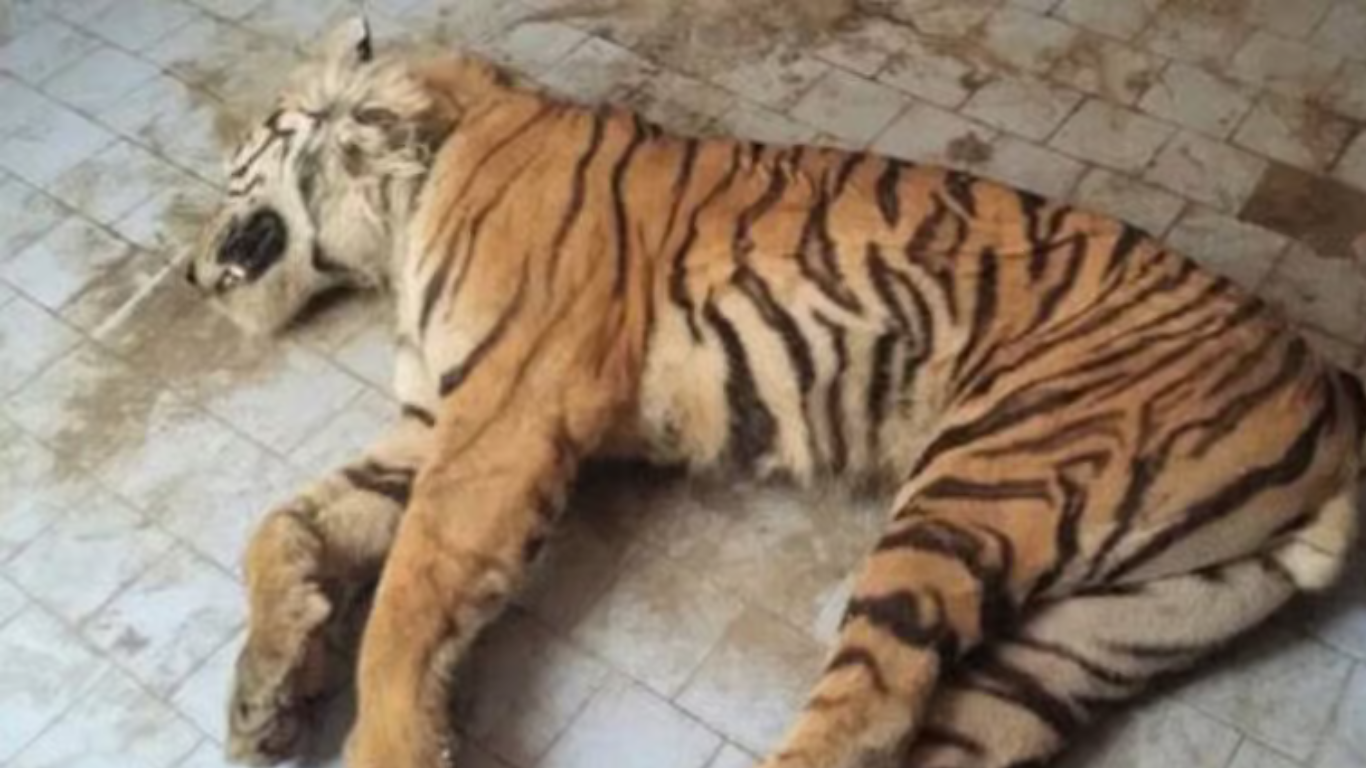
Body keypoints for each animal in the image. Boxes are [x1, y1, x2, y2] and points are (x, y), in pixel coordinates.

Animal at [186, 17, 1366, 768]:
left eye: (232, 168)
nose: (188, 273)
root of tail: (1328, 389)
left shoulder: (500, 424)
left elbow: (404, 607)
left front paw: (377, 736)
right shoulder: (439, 419)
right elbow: (280, 522)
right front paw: (268, 687)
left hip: (977, 488)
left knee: (870, 708)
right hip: (1104, 630)